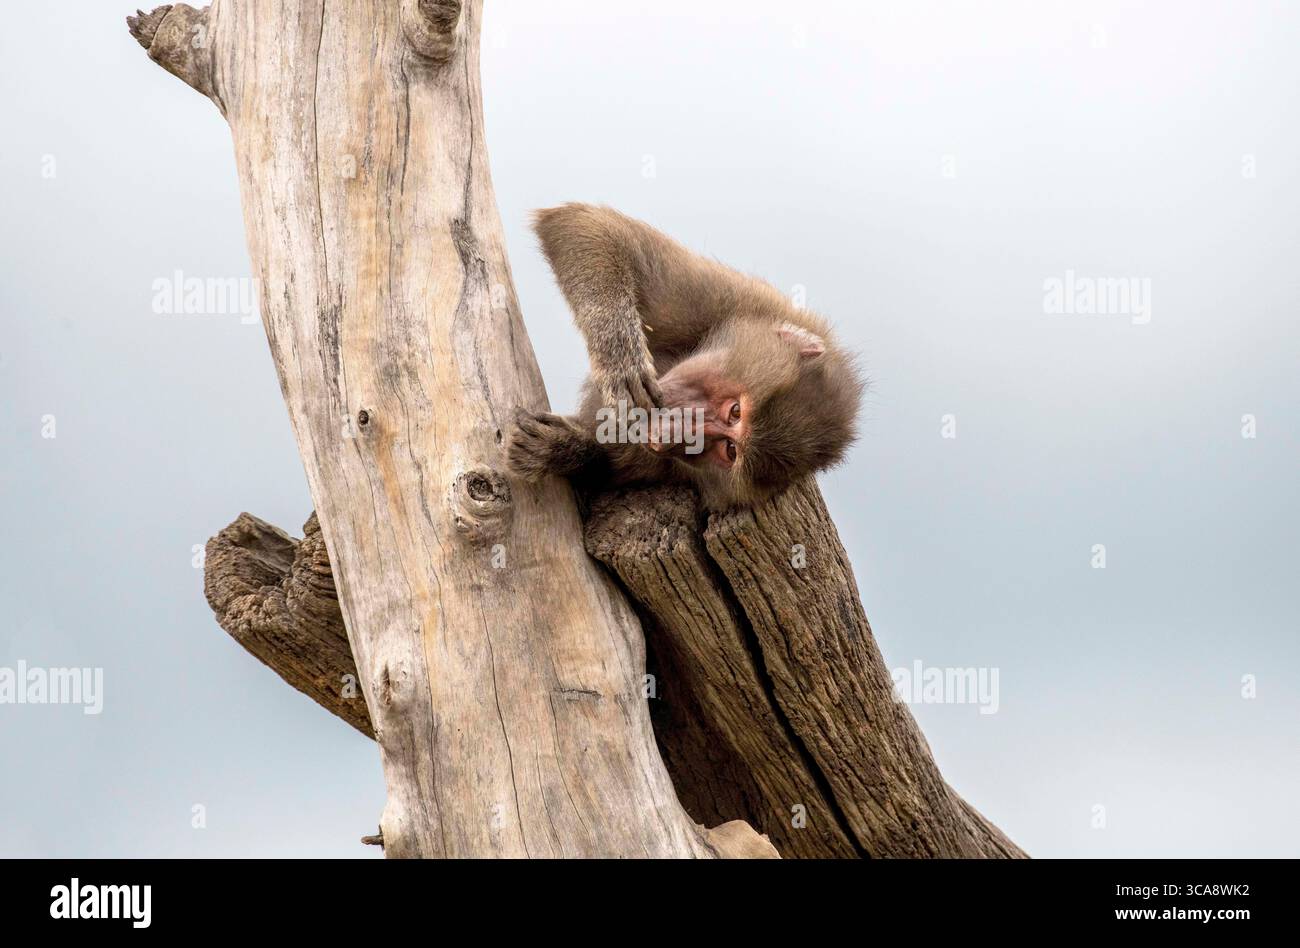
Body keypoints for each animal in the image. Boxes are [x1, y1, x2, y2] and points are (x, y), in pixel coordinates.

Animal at [507, 203, 864, 510]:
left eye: (728, 450)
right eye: (736, 411)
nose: (667, 435)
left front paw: (565, 450)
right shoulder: (723, 301)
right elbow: (586, 225)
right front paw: (620, 357)